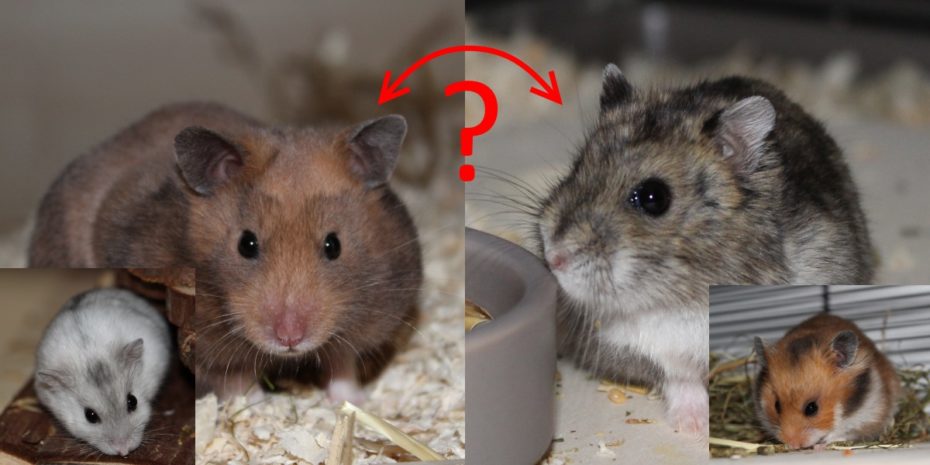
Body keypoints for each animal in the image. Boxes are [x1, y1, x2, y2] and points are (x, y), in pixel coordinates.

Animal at [28, 103, 423, 401]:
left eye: (333, 245)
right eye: (246, 244)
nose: (290, 339)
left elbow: (341, 366)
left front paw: (356, 403)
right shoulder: (207, 349)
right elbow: (234, 379)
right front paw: (258, 404)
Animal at [535, 65, 873, 435]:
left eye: (653, 197)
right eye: (578, 166)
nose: (553, 257)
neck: (680, 296)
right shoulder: (642, 347)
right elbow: (679, 379)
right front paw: (695, 427)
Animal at [753, 314, 900, 449]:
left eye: (812, 408)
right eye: (777, 406)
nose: (793, 445)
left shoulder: (867, 416)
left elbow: (838, 434)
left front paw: (820, 445)